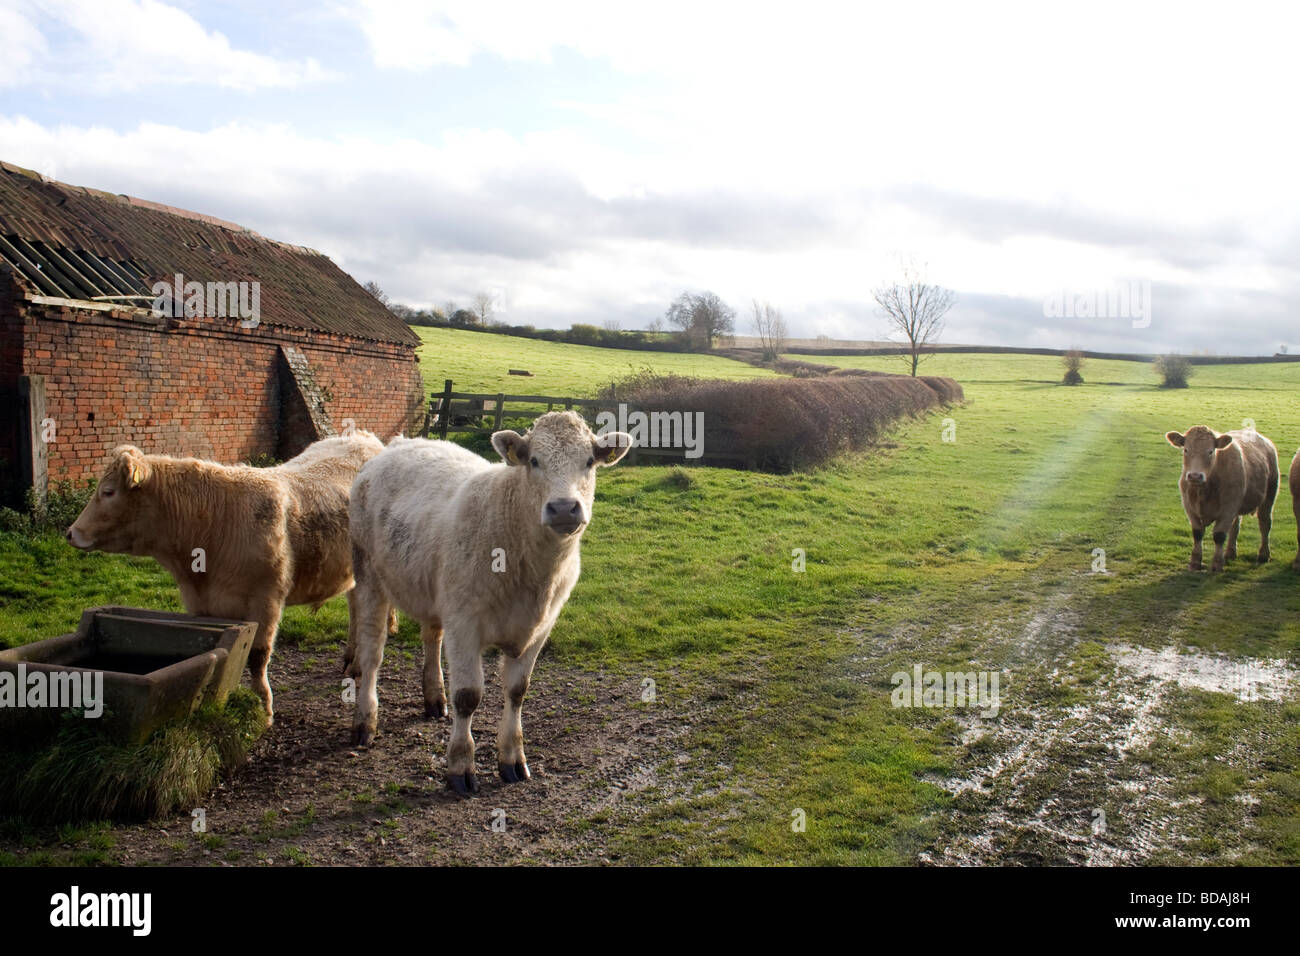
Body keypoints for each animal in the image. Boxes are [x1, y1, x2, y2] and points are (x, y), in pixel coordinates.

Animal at [66, 432, 388, 720]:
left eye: (108, 492)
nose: (71, 533)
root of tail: (361, 436)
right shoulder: (201, 604)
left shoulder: (266, 600)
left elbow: (258, 656)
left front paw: (264, 709)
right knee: (355, 608)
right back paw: (352, 660)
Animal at [345, 411, 632, 795]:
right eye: (534, 461)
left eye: (589, 461)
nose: (563, 509)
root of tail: (398, 444)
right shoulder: (464, 623)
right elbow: (468, 696)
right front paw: (460, 766)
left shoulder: (541, 626)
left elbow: (517, 691)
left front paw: (512, 758)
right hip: (369, 576)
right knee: (372, 653)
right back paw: (365, 721)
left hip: (434, 588)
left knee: (431, 637)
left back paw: (434, 698)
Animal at [1165, 425, 1279, 572]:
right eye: (1186, 449)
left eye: (1210, 451)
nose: (1195, 476)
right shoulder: (1189, 506)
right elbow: (1197, 533)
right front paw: (1195, 562)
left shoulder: (1228, 507)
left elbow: (1219, 535)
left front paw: (1217, 564)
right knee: (1235, 526)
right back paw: (1230, 553)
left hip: (1269, 495)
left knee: (1265, 524)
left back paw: (1263, 555)